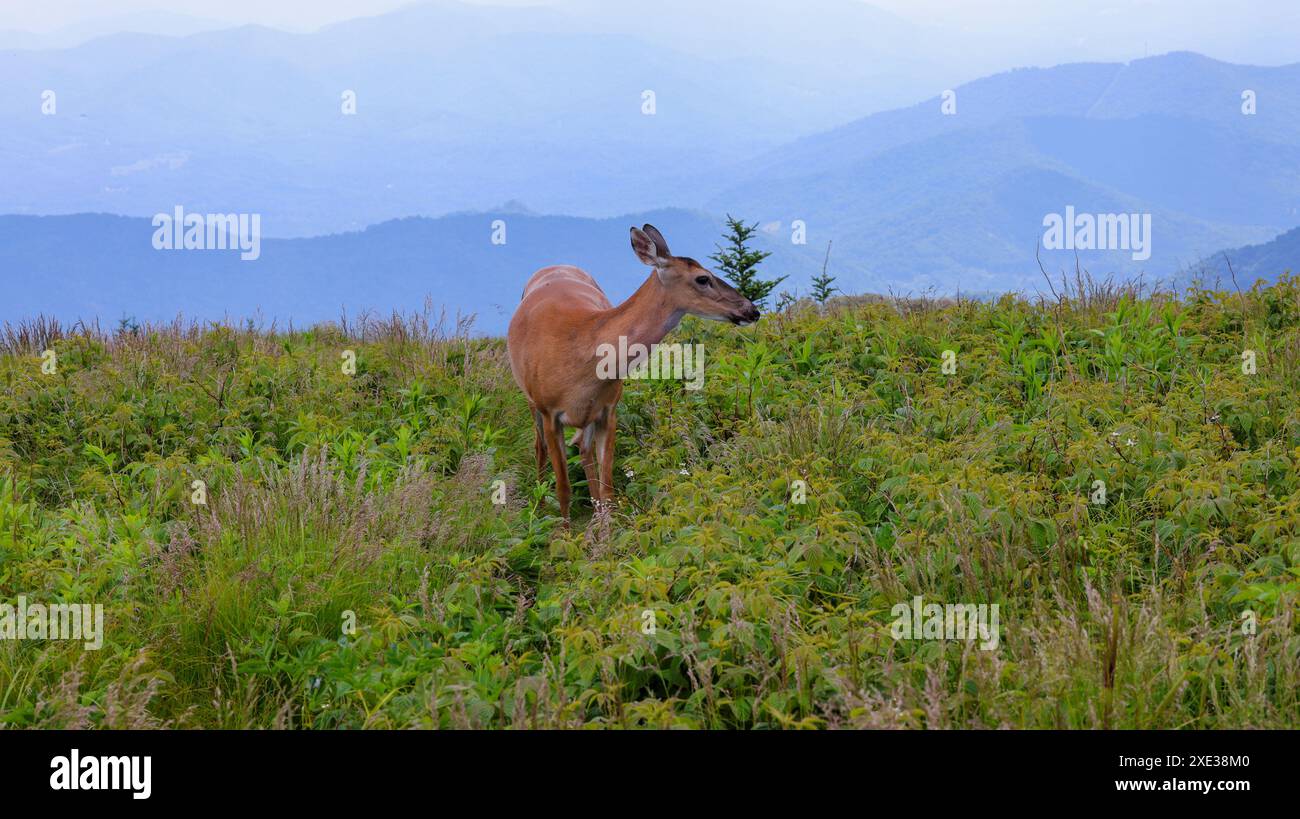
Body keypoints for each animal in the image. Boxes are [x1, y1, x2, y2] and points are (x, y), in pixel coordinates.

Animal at [507, 224, 760, 523]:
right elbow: (564, 490)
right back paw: (542, 509)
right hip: (531, 400)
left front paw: (605, 531)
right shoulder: (550, 412)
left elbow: (608, 490)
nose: (752, 310)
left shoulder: (608, 410)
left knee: (583, 449)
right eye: (703, 278)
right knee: (540, 447)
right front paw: (564, 533)